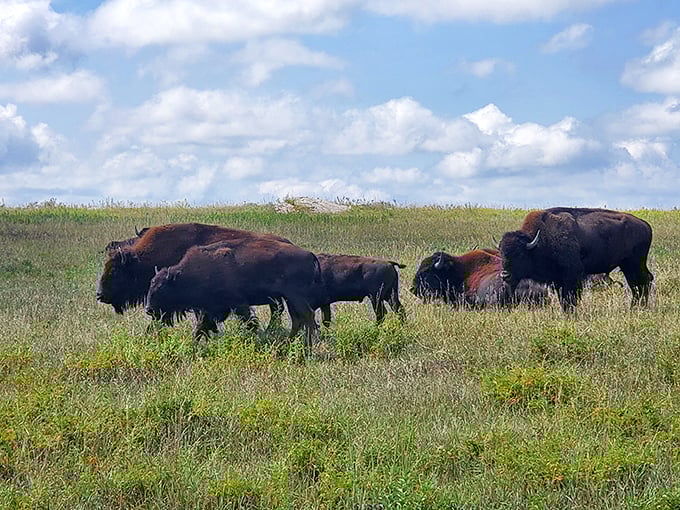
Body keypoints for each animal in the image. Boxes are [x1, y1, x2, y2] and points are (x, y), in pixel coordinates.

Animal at [144, 238, 323, 352]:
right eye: (151, 284)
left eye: (161, 288)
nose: (148, 309)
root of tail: (309, 254)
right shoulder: (211, 309)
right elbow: (200, 328)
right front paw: (193, 346)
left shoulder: (238, 305)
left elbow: (250, 323)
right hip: (291, 299)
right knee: (298, 320)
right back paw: (288, 343)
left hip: (295, 297)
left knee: (307, 317)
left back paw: (306, 347)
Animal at [499, 207, 653, 311]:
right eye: (502, 253)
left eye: (519, 254)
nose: (505, 275)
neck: (539, 242)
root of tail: (645, 224)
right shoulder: (558, 280)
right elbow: (563, 299)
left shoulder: (572, 276)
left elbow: (570, 298)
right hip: (627, 265)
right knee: (637, 284)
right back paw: (635, 307)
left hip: (634, 263)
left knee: (643, 281)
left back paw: (639, 308)